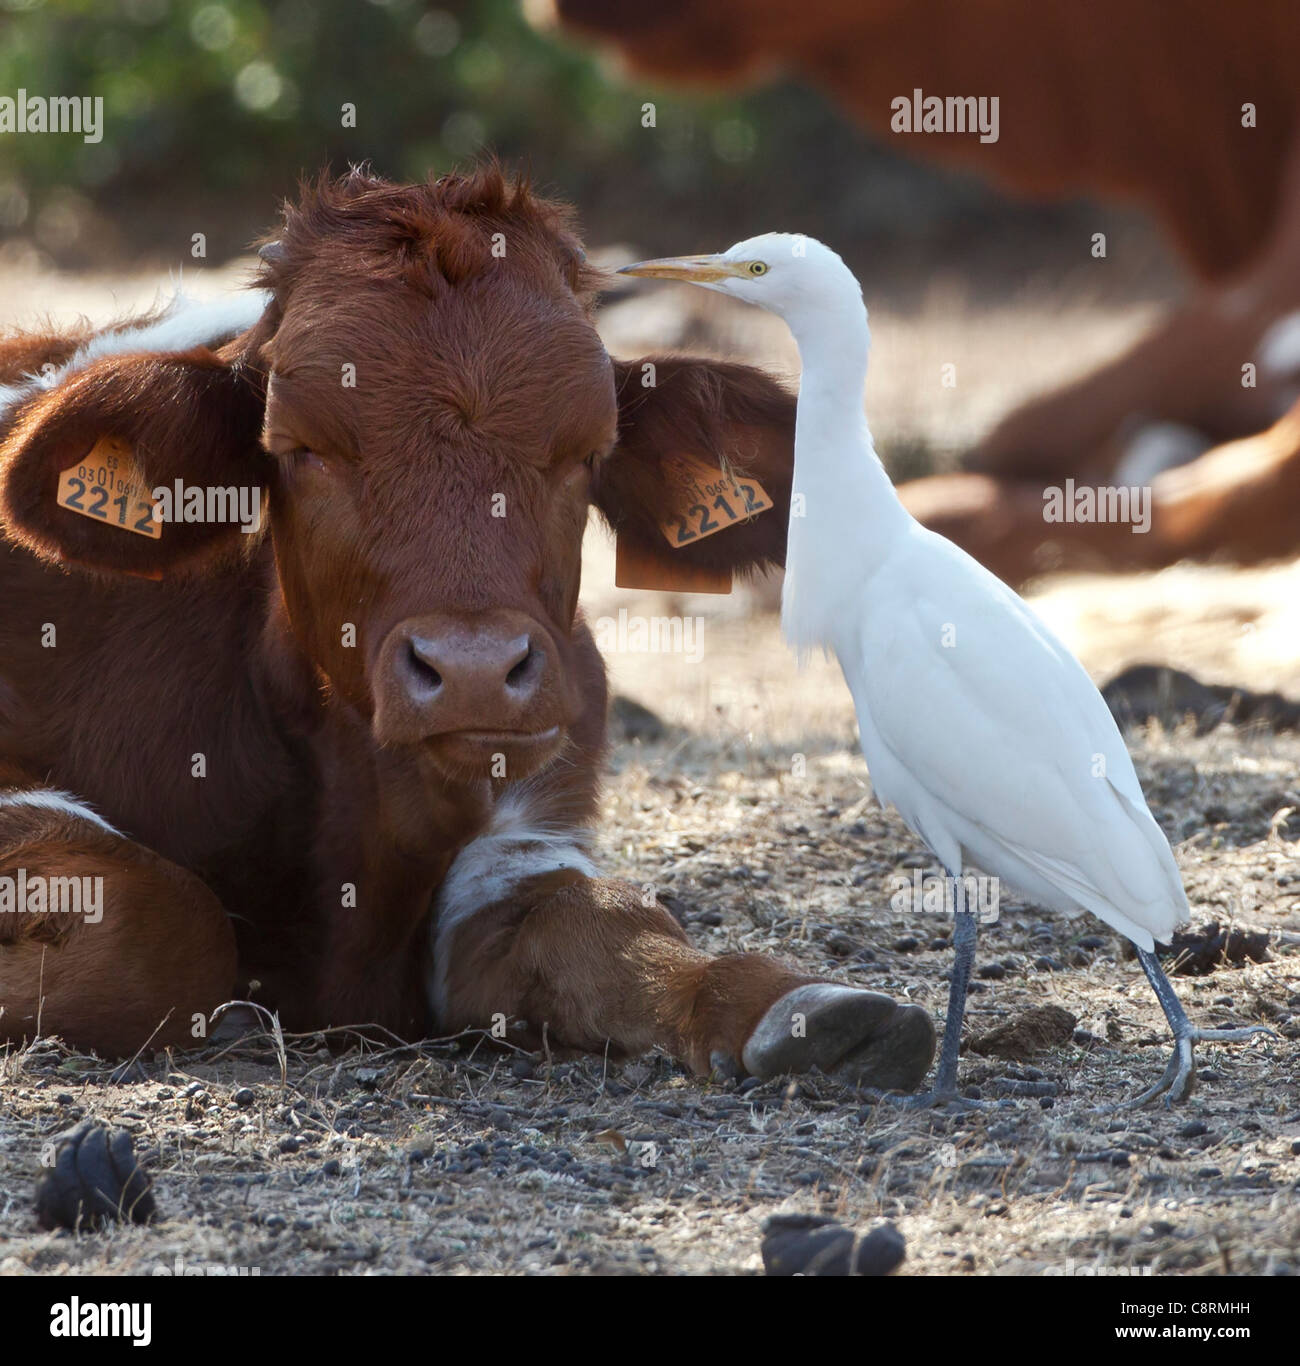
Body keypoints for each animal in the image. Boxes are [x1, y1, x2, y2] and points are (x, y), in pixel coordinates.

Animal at [0, 167, 935, 1093]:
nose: (476, 670)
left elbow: (606, 924)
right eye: (301, 448)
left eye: (586, 449)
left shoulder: (524, 827)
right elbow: (169, 918)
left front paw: (786, 1003)